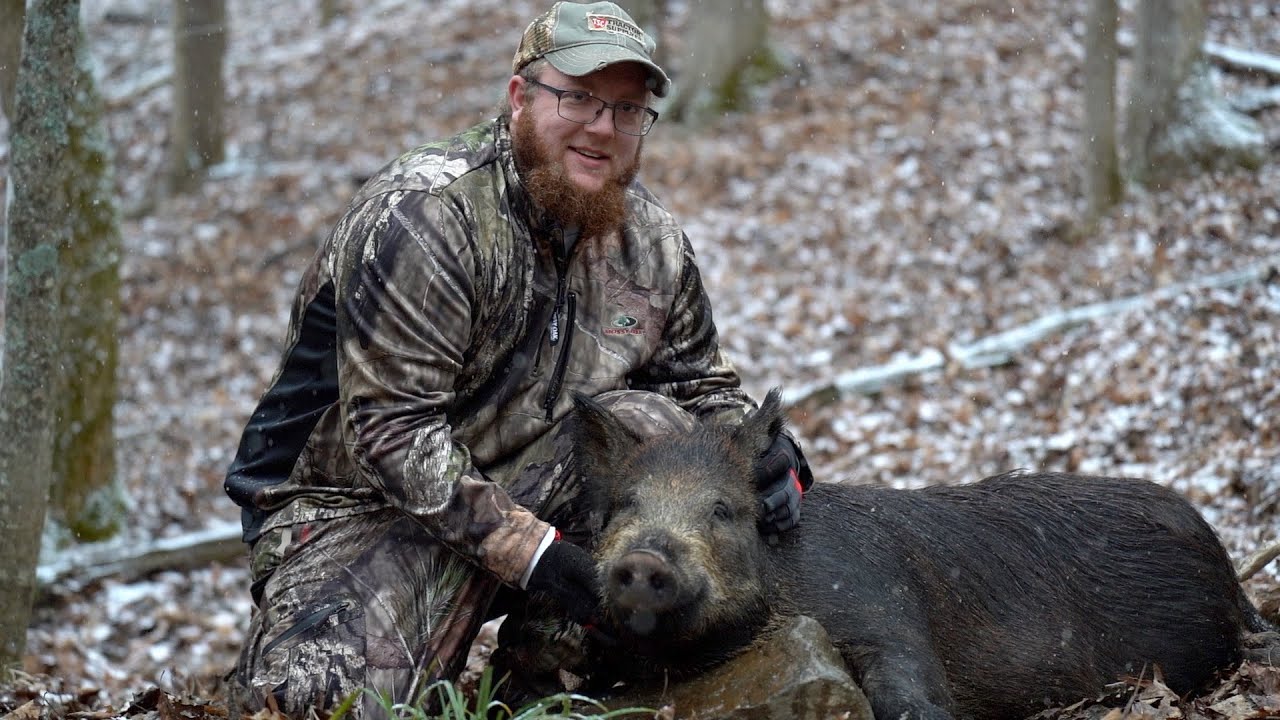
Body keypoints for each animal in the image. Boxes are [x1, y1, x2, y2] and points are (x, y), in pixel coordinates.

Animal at [570, 390, 1276, 720]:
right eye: (624, 504)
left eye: (722, 509)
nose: (646, 560)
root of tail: (1224, 560)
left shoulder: (880, 607)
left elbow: (908, 689)